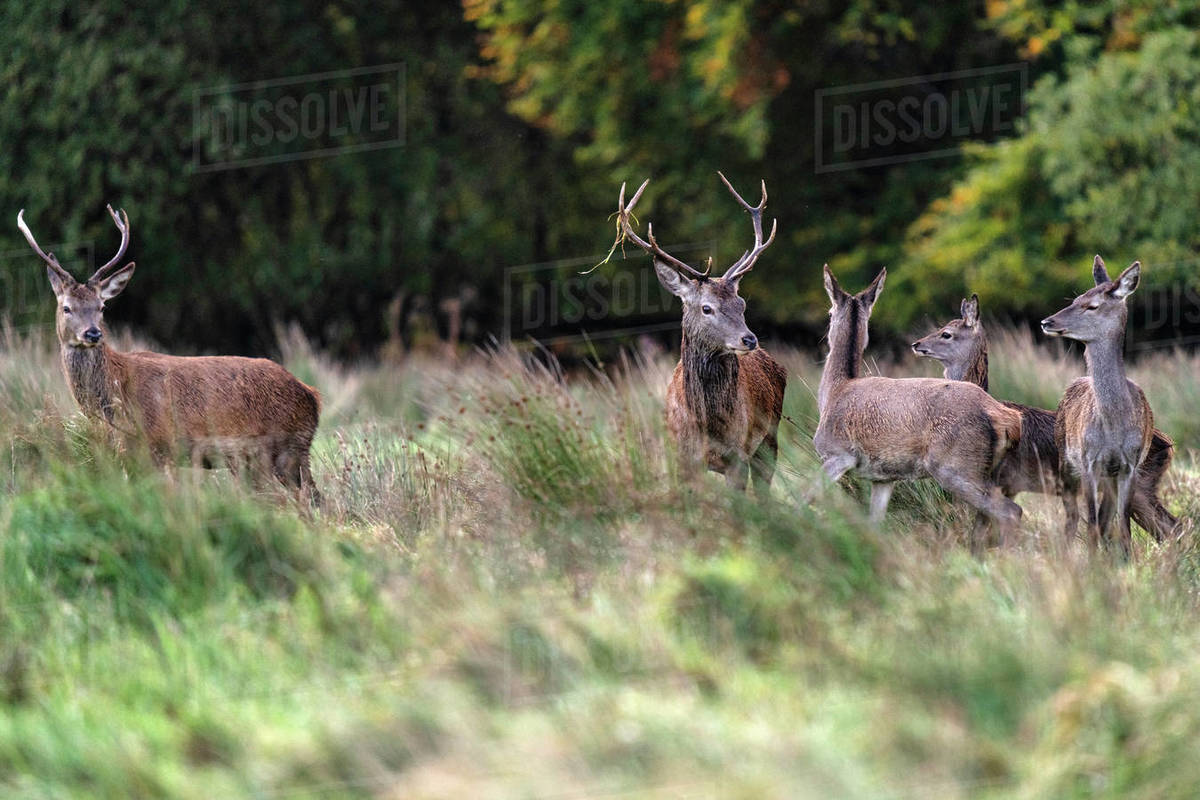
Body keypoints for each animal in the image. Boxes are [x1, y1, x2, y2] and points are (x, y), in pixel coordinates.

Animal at [18, 205, 322, 502]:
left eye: (102, 307)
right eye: (66, 308)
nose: (92, 334)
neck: (116, 393)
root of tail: (312, 396)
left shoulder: (157, 442)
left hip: (286, 448)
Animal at [609, 174, 786, 494]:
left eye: (741, 304)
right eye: (706, 308)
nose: (749, 339)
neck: (706, 424)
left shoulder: (738, 455)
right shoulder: (681, 457)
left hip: (770, 441)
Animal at [814, 265, 1023, 538]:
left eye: (829, 312)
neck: (835, 391)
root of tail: (1008, 419)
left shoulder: (838, 453)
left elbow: (802, 500)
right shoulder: (884, 477)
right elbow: (875, 524)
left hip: (955, 465)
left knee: (1010, 511)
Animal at [912, 294, 1178, 540]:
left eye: (946, 334)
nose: (917, 344)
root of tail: (1169, 444)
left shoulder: (999, 479)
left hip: (1138, 483)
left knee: (1172, 527)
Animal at [1041, 256, 1154, 554]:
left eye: (1092, 305)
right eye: (1075, 298)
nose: (1046, 321)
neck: (1114, 425)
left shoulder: (1130, 465)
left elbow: (1123, 527)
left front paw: (1126, 560)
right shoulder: (1088, 461)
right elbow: (1090, 523)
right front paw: (1092, 563)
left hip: (1108, 476)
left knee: (1104, 519)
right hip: (1065, 459)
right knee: (1073, 518)